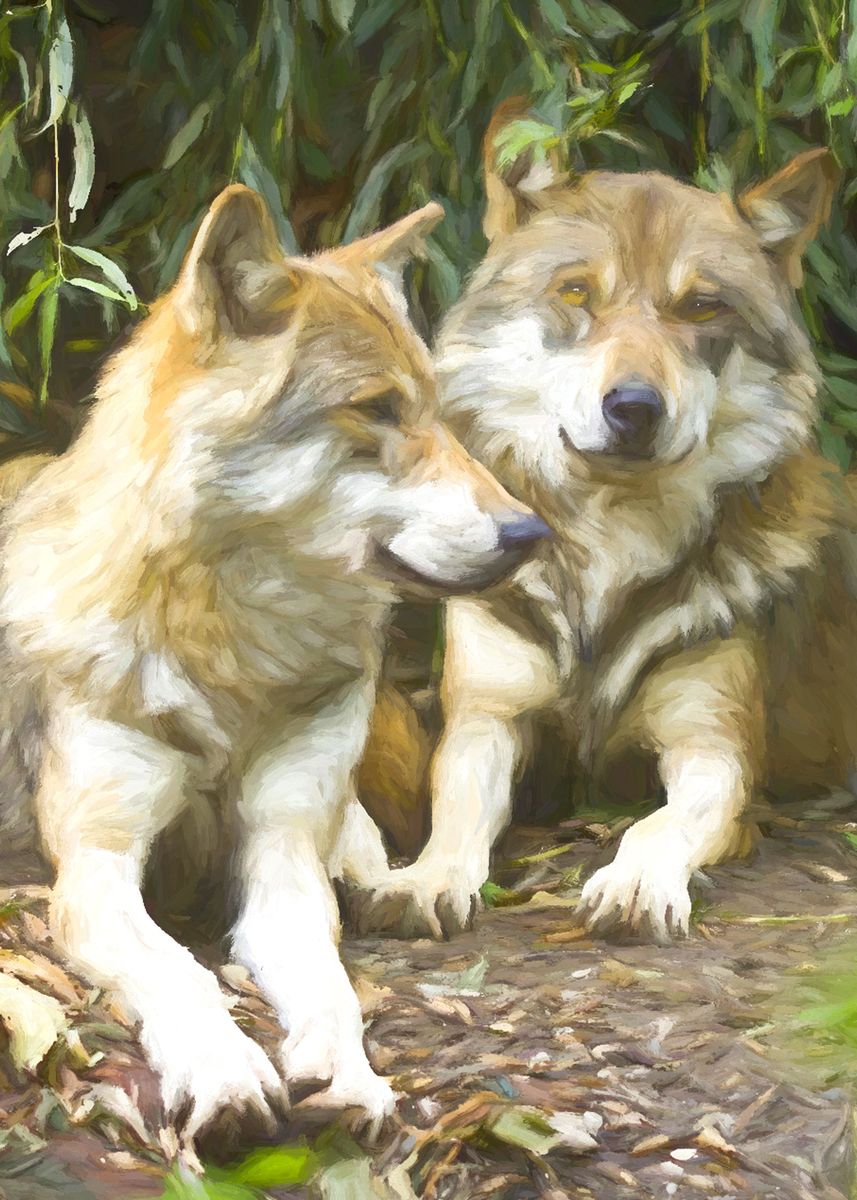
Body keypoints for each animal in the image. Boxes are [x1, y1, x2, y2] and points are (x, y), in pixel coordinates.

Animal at [0, 185, 550, 1144]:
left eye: (434, 408)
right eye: (376, 408)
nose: (530, 534)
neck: (236, 656)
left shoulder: (281, 851)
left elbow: (328, 983)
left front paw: (348, 1078)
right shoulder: (96, 872)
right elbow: (181, 972)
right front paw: (224, 1073)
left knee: (362, 842)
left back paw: (391, 885)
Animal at [360, 105, 857, 945]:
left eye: (700, 306)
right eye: (576, 292)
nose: (633, 407)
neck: (610, 545)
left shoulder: (714, 752)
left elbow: (654, 825)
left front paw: (634, 886)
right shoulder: (485, 722)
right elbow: (455, 813)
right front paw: (424, 880)